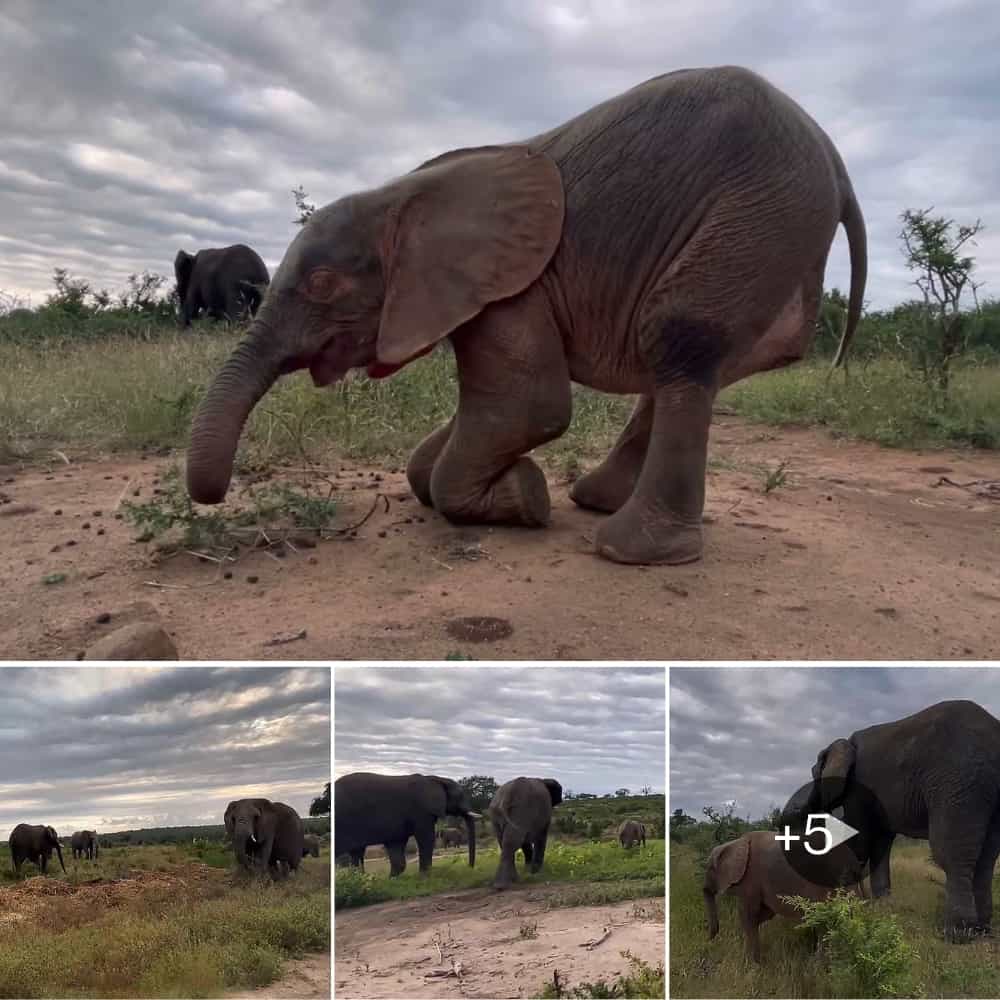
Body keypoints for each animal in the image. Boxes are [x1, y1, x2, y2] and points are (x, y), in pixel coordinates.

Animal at [186, 65, 866, 567]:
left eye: (322, 285)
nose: (214, 497)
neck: (403, 193)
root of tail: (836, 162)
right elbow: (467, 428)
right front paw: (514, 487)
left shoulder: (517, 285)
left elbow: (528, 409)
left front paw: (526, 499)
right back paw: (593, 501)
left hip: (761, 215)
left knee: (678, 337)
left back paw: (628, 550)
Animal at [334, 772, 479, 876]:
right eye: (460, 795)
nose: (470, 868)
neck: (436, 779)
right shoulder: (421, 811)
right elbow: (426, 837)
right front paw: (425, 876)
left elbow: (396, 846)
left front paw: (392, 880)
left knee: (357, 853)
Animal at [704, 829, 867, 963]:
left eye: (710, 869)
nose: (709, 940)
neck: (734, 843)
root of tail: (854, 862)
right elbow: (762, 915)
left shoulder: (750, 879)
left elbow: (748, 917)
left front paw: (752, 965)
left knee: (822, 921)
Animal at [784, 698, 1000, 941]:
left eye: (814, 772)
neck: (845, 743)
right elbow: (881, 843)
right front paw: (882, 908)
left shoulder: (859, 786)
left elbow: (859, 839)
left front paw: (847, 906)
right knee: (986, 858)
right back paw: (982, 931)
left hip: (957, 779)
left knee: (951, 853)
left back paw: (958, 935)